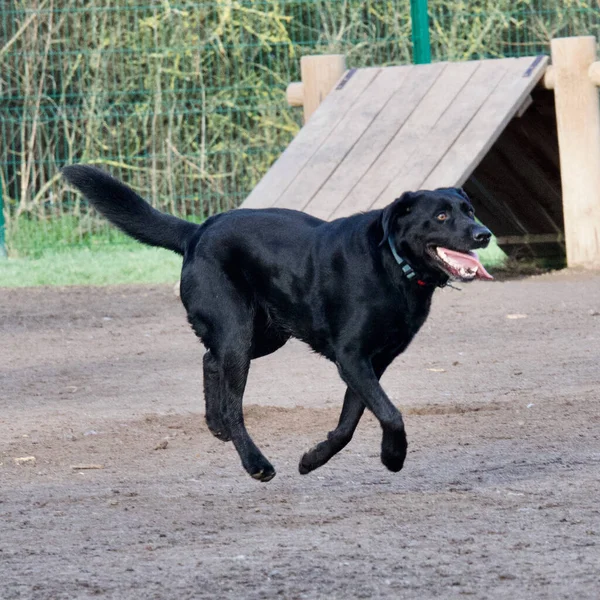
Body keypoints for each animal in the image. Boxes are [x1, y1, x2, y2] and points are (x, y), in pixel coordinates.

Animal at [61, 165, 492, 482]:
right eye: (441, 216)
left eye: (469, 211)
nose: (484, 234)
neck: (393, 266)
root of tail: (198, 231)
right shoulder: (352, 358)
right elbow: (390, 413)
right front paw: (393, 456)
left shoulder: (372, 362)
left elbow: (349, 423)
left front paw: (313, 458)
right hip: (238, 334)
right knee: (233, 402)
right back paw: (255, 463)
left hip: (264, 335)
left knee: (210, 361)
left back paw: (215, 425)